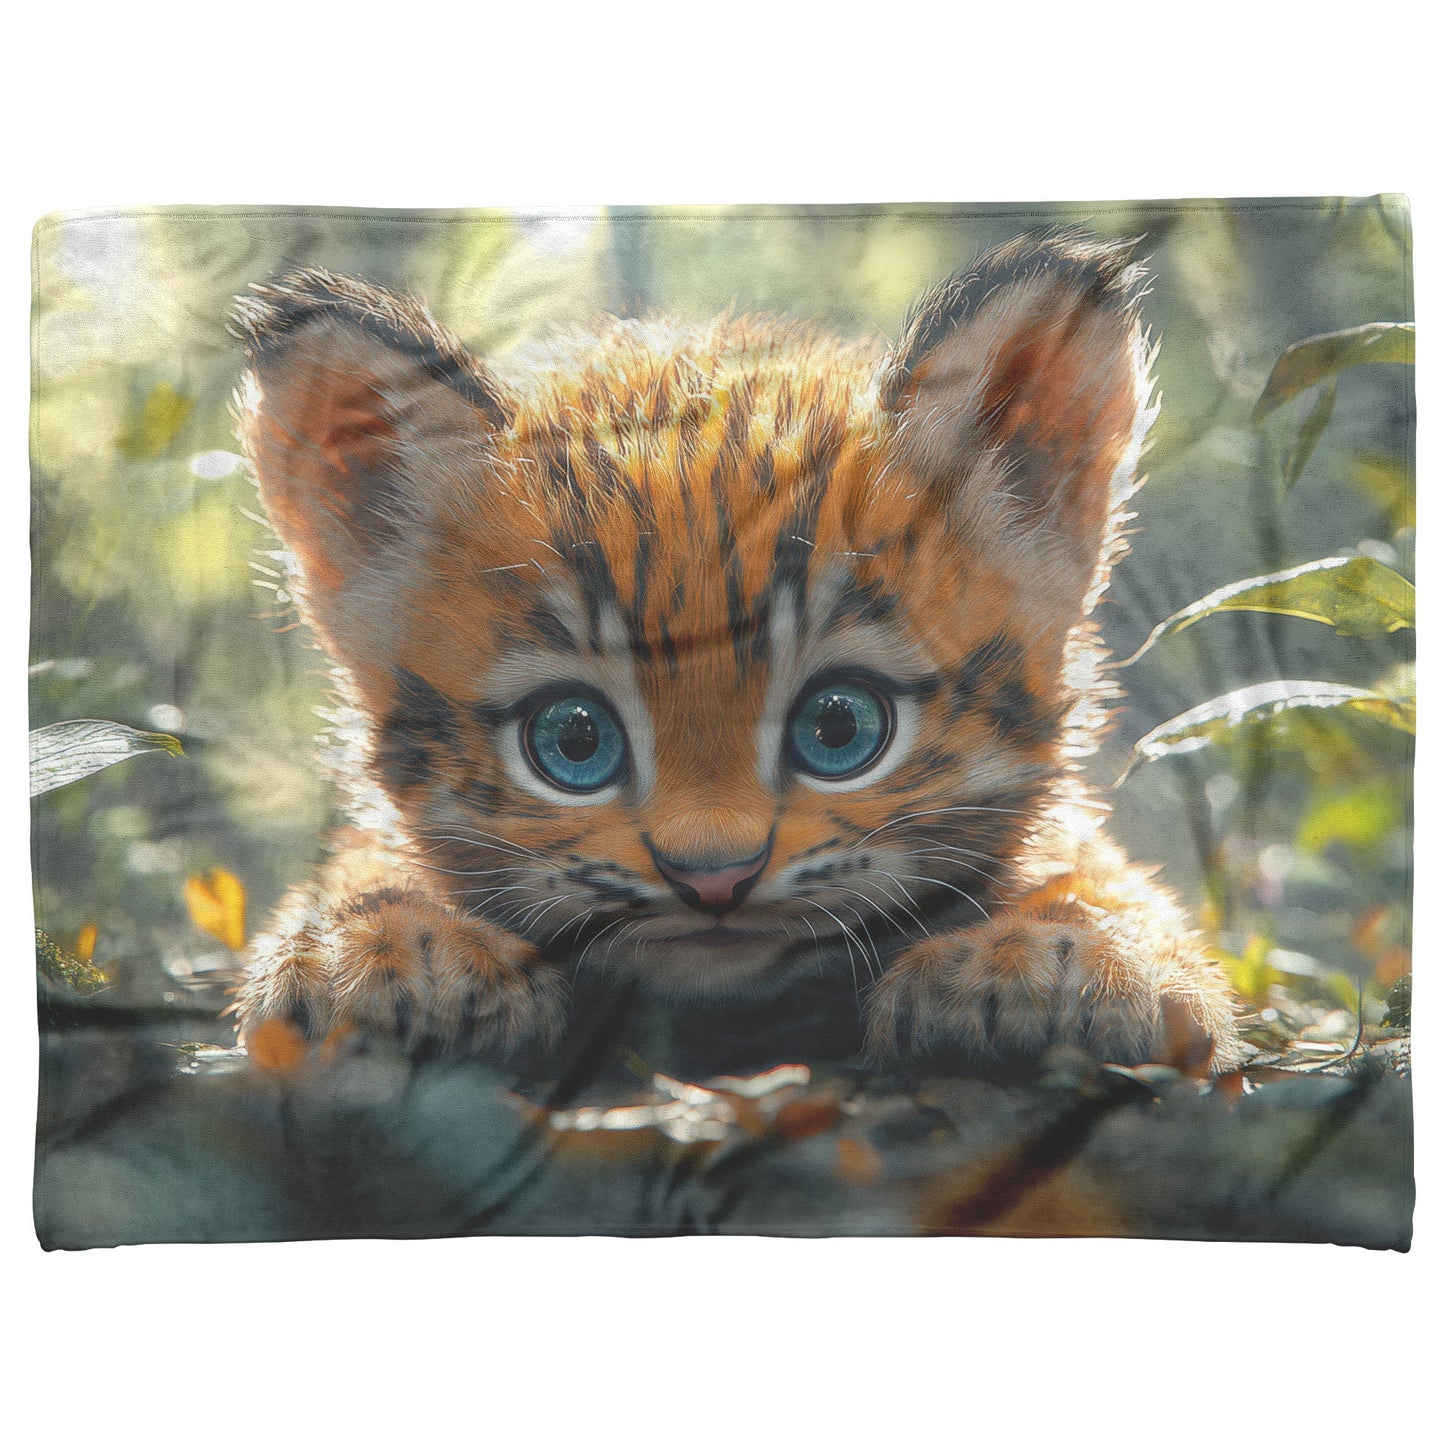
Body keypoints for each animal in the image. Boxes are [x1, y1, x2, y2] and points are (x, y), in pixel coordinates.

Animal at [228, 231, 1241, 1074]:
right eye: (573, 741)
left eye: (839, 727)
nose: (711, 877)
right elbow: (367, 857)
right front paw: (390, 945)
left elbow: (1094, 870)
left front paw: (1052, 951)